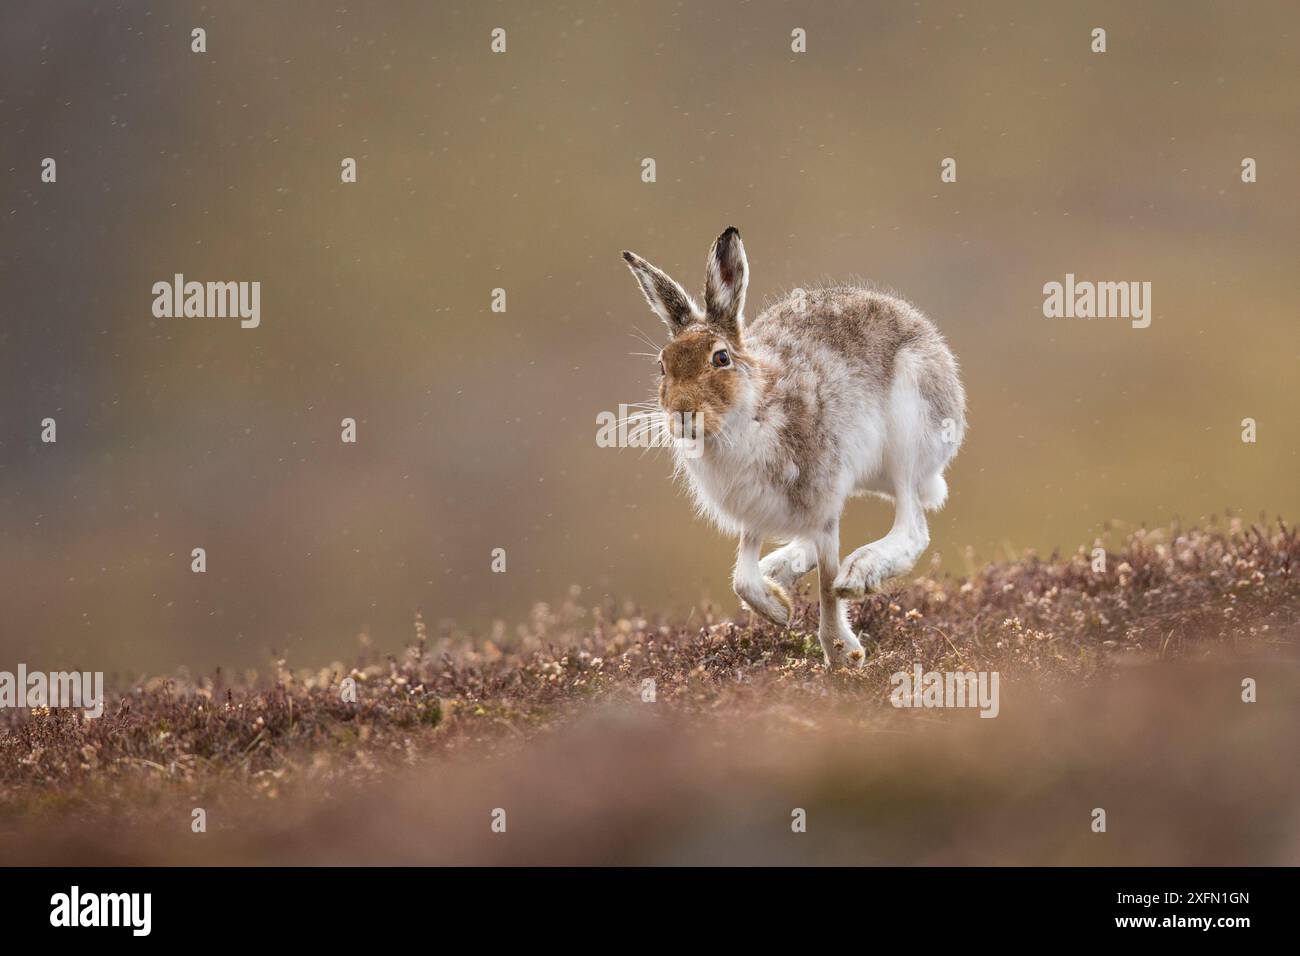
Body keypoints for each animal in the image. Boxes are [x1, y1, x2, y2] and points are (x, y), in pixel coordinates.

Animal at [622, 226, 966, 667]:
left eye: (721, 358)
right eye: (662, 366)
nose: (682, 413)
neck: (751, 413)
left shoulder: (820, 497)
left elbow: (827, 586)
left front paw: (843, 654)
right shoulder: (755, 509)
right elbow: (742, 578)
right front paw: (778, 609)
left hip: (910, 427)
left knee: (912, 526)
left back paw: (860, 572)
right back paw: (781, 568)